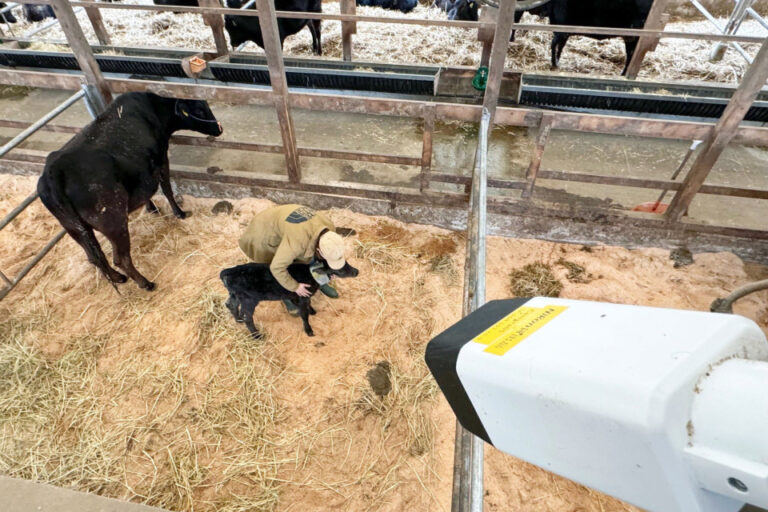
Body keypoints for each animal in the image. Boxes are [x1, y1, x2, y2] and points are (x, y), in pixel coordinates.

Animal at [37, 93, 223, 291]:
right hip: (113, 222)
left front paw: (152, 208)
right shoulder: (161, 160)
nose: (219, 128)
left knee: (94, 257)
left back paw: (119, 278)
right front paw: (179, 213)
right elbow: (167, 189)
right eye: (200, 110)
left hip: (74, 228)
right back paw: (146, 283)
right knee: (120, 258)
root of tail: (55, 171)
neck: (152, 109)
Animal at [220, 261, 359, 338]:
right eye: (341, 267)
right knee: (247, 318)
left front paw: (312, 311)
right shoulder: (302, 296)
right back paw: (257, 335)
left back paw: (238, 320)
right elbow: (303, 314)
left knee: (230, 304)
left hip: (235, 295)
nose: (356, 271)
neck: (312, 276)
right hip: (249, 299)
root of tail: (226, 273)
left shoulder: (300, 296)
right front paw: (309, 330)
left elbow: (308, 304)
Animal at [513, 0, 654, 75]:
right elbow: (560, 46)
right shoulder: (564, 31)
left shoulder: (561, 28)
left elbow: (553, 44)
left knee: (631, 55)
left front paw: (554, 63)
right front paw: (557, 62)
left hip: (633, 37)